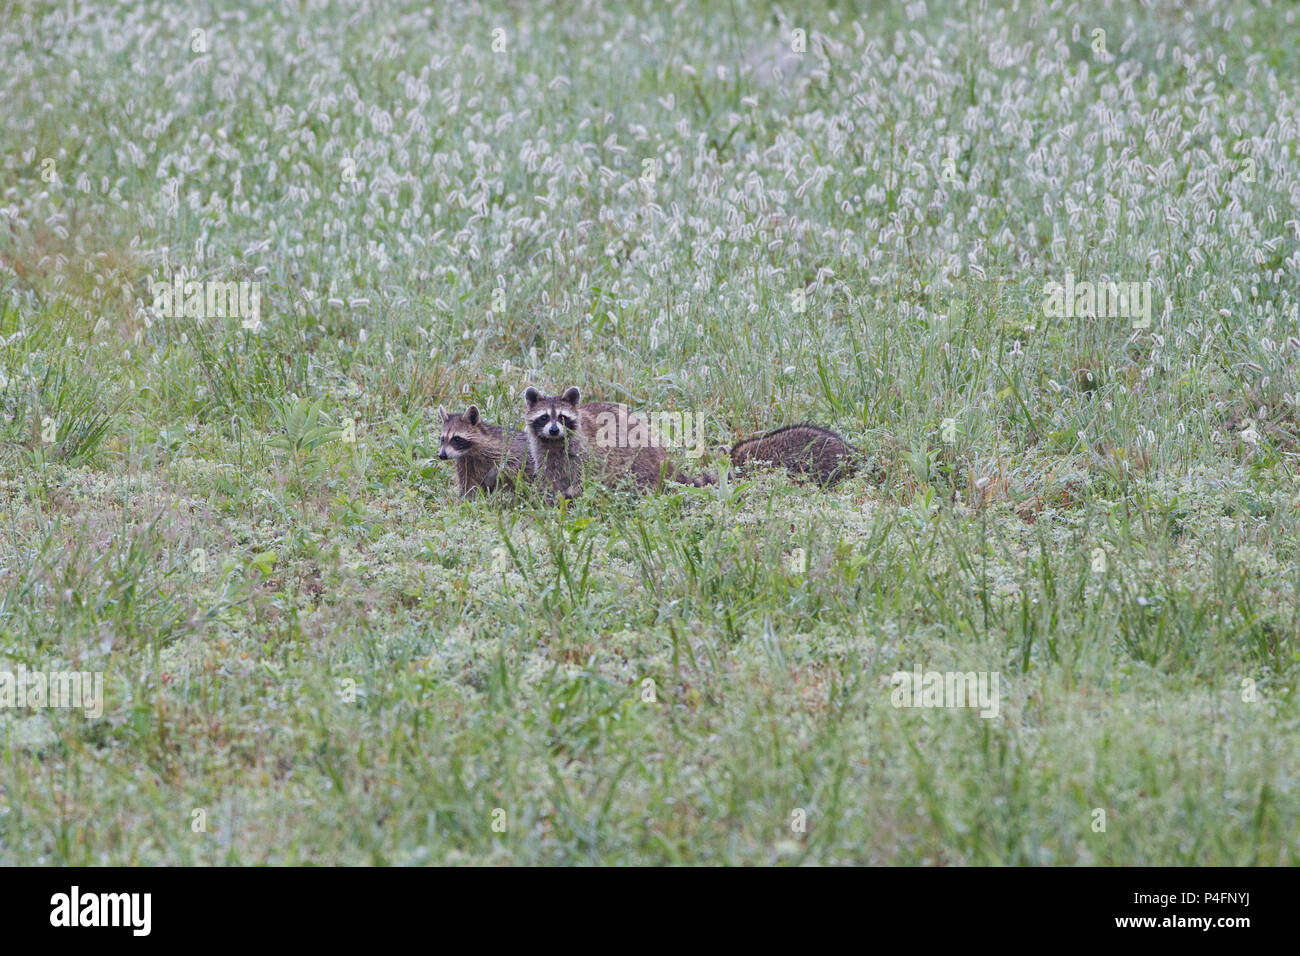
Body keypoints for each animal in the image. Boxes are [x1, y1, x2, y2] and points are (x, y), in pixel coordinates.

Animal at [523, 386, 713, 500]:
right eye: (544, 417)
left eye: (562, 417)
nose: (554, 430)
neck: (554, 442)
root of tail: (664, 459)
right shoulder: (543, 451)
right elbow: (548, 475)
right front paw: (549, 496)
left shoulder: (587, 449)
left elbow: (586, 472)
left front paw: (573, 491)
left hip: (638, 459)